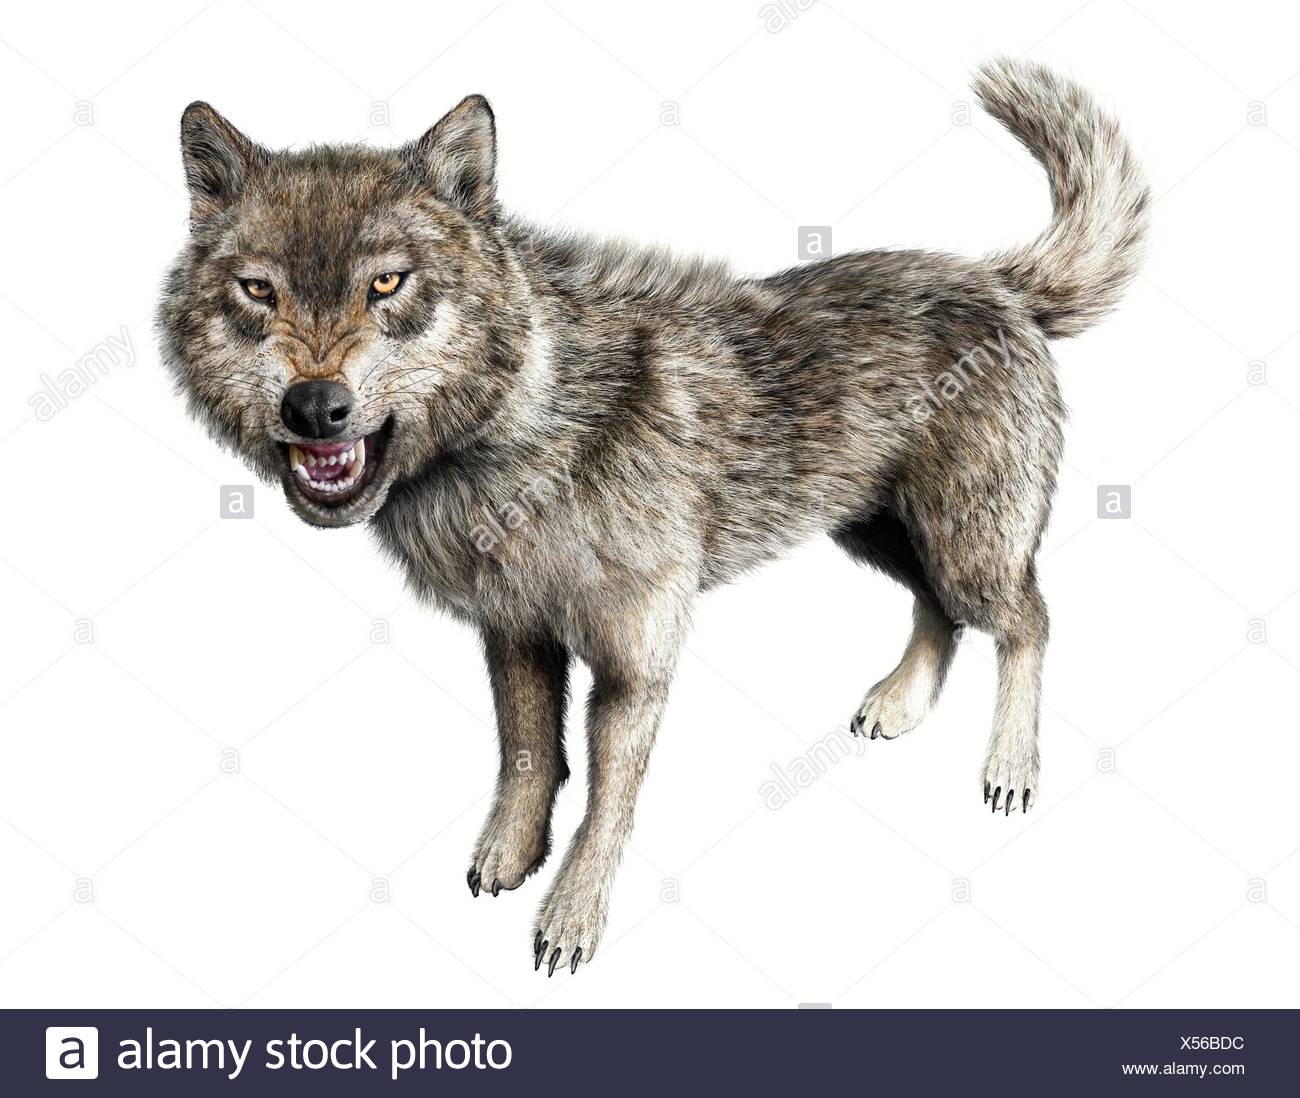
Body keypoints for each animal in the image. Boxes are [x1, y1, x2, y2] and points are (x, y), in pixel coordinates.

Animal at [157, 57, 1148, 975]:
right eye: (258, 291)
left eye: (388, 284)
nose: (313, 408)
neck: (527, 432)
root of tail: (999, 282)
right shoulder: (517, 630)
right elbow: (527, 756)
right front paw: (508, 856)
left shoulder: (636, 663)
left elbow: (606, 803)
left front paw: (571, 920)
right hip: (876, 533)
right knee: (941, 610)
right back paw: (898, 705)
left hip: (963, 544)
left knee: (1028, 621)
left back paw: (1010, 770)